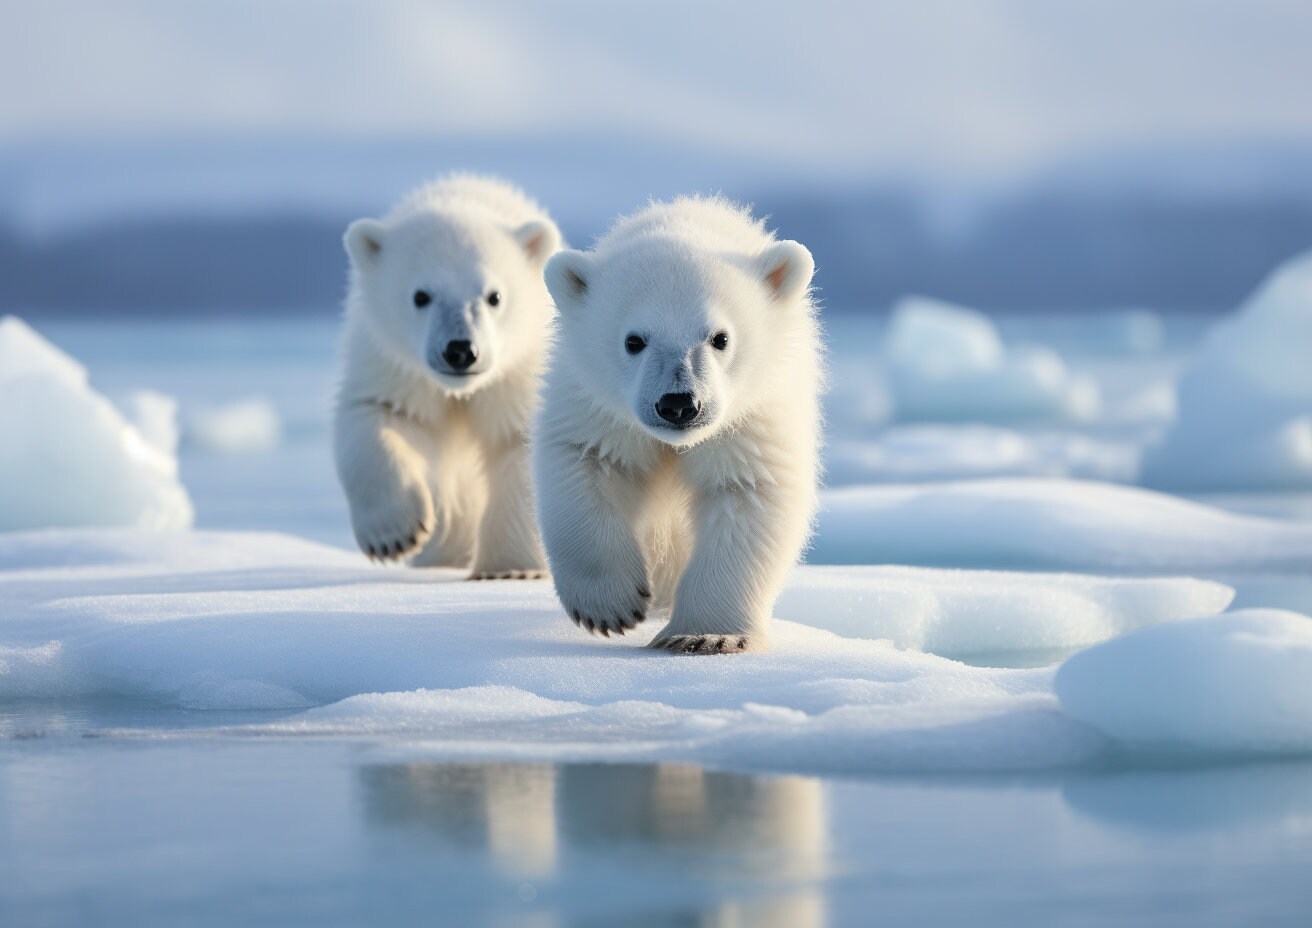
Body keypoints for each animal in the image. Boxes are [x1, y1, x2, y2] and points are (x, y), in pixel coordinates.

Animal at [334, 174, 561, 578]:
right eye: (420, 296)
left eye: (494, 296)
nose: (460, 350)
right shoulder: (392, 363)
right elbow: (378, 416)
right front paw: (396, 535)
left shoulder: (518, 373)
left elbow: (518, 445)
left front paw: (509, 569)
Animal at [535, 196, 822, 652]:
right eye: (634, 340)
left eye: (721, 337)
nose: (679, 404)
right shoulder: (597, 403)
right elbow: (587, 463)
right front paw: (610, 606)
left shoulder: (753, 416)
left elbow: (748, 491)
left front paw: (706, 634)